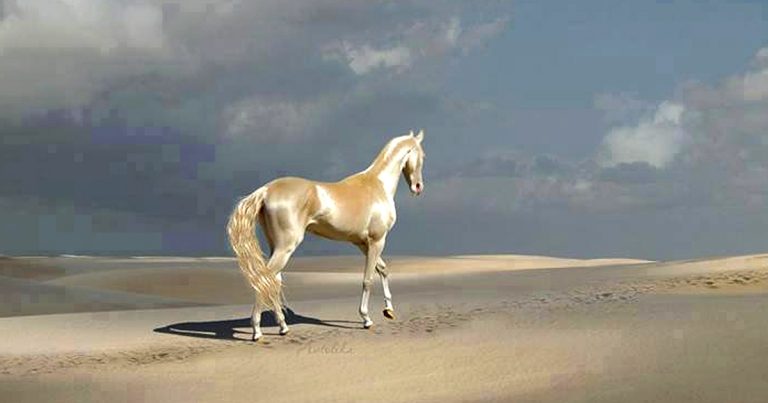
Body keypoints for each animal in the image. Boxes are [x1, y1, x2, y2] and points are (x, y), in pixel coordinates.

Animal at [227, 130, 426, 341]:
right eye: (422, 156)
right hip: (286, 247)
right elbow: (368, 279)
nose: (418, 187)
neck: (377, 186)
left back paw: (283, 327)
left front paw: (388, 310)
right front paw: (366, 319)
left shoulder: (363, 243)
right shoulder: (377, 241)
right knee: (264, 280)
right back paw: (257, 331)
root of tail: (266, 190)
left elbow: (383, 269)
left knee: (272, 281)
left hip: (277, 247)